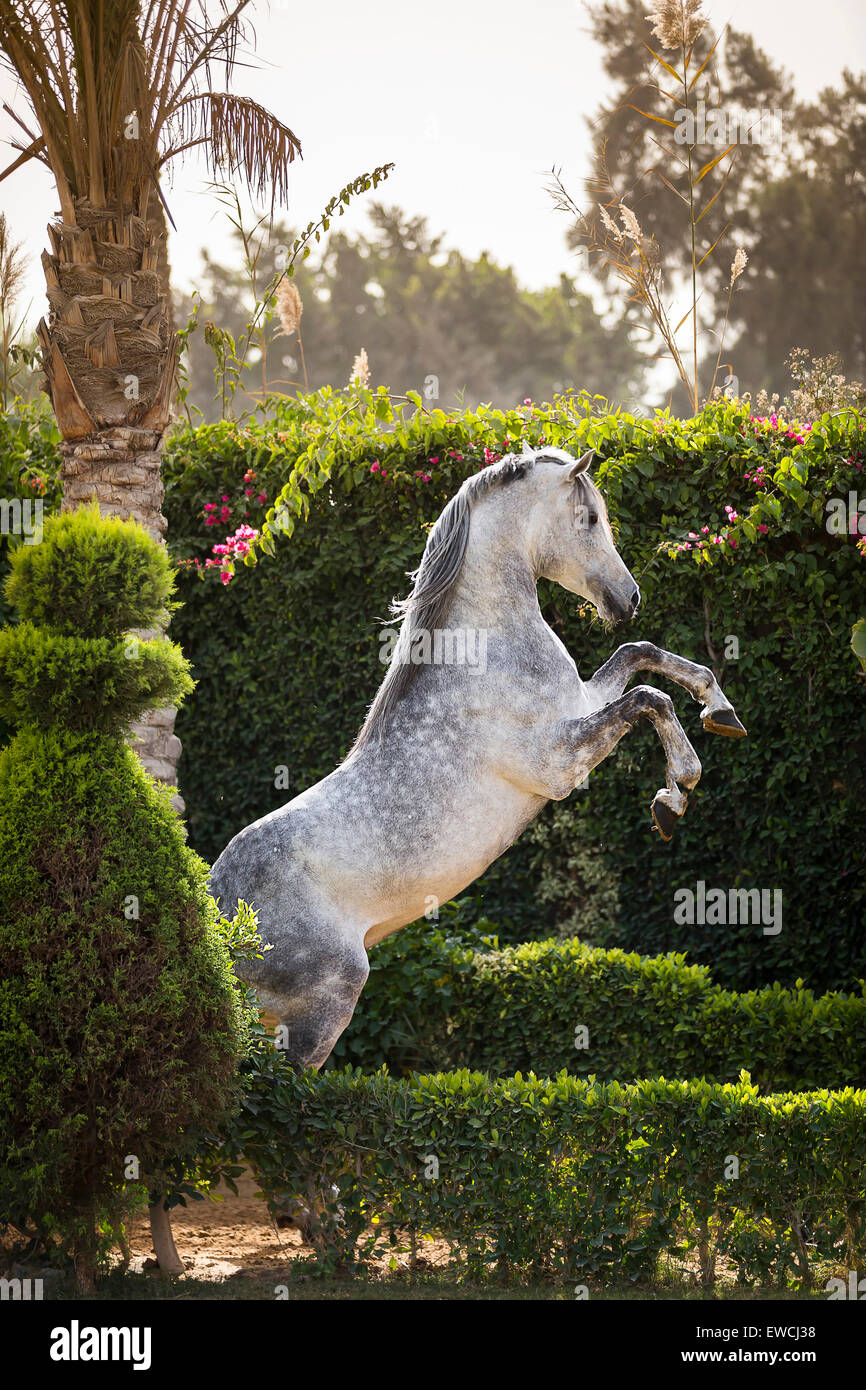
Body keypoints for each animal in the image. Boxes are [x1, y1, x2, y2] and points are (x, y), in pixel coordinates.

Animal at [210, 444, 747, 1075]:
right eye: (589, 518)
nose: (629, 597)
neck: (483, 648)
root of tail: (219, 925)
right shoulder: (558, 763)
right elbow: (647, 699)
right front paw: (676, 792)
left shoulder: (580, 704)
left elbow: (639, 655)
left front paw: (719, 708)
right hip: (323, 1003)